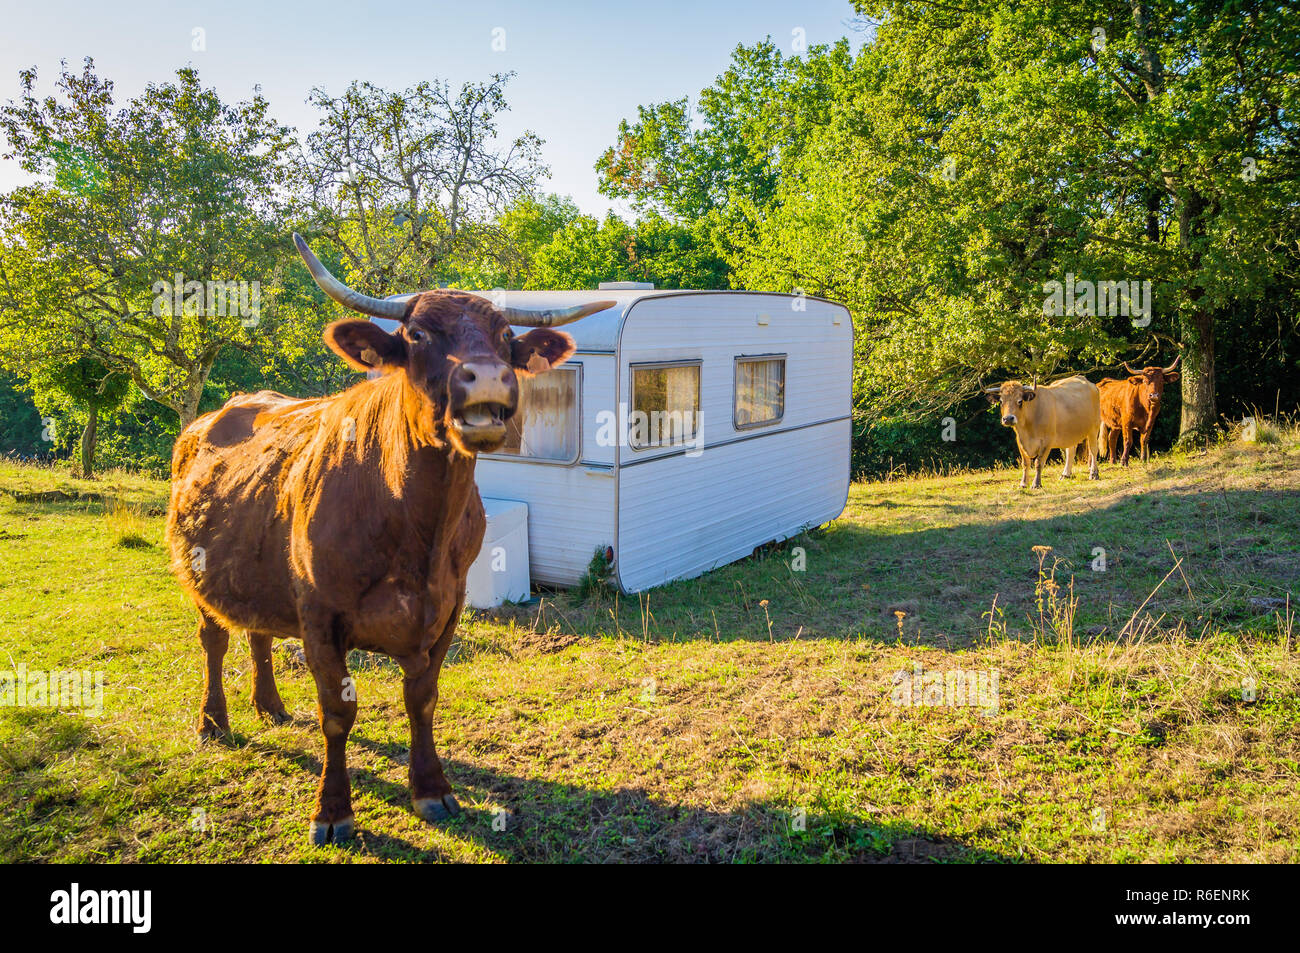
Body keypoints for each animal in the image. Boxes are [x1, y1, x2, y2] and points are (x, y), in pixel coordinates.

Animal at [166, 233, 613, 844]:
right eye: (417, 334)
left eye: (505, 338)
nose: (488, 378)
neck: (417, 531)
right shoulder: (320, 614)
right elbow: (337, 712)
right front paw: (332, 811)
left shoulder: (447, 607)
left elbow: (421, 699)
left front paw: (432, 789)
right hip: (199, 572)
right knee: (214, 640)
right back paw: (214, 722)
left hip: (259, 570)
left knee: (258, 634)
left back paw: (271, 705)